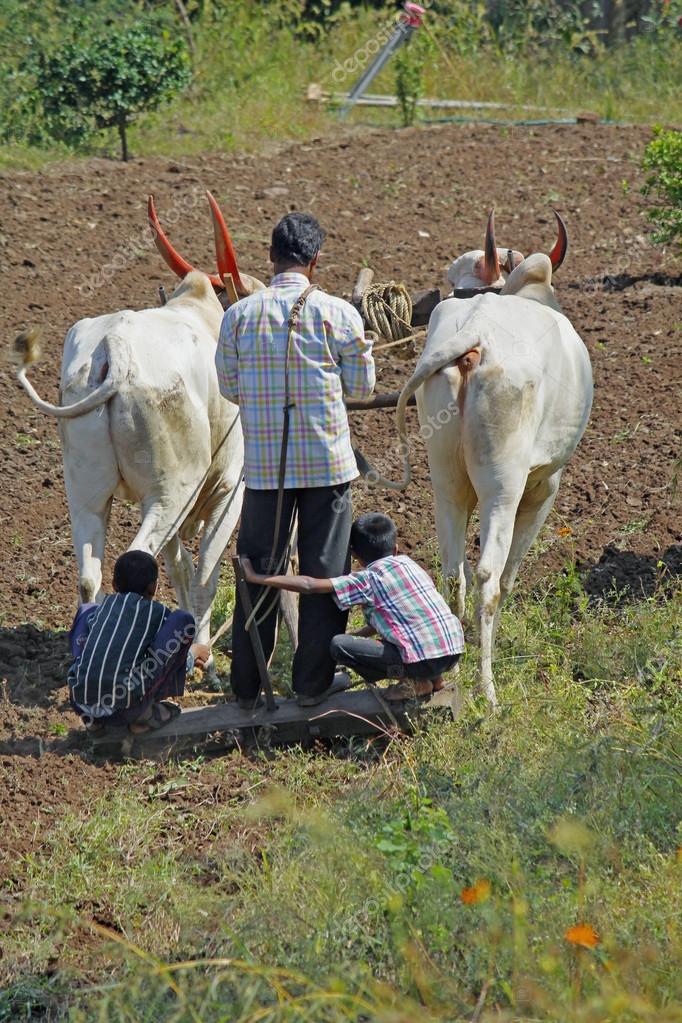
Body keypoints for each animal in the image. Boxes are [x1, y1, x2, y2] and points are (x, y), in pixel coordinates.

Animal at [14, 192, 264, 659]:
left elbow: (182, 568)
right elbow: (204, 573)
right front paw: (200, 649)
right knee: (134, 559)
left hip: (87, 492)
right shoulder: (229, 491)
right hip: (169, 494)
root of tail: (115, 347)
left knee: (89, 576)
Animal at [361, 212, 591, 706]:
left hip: (446, 480)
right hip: (503, 487)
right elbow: (507, 575)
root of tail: (473, 340)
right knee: (488, 575)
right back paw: (487, 688)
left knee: (452, 571)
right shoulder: (545, 485)